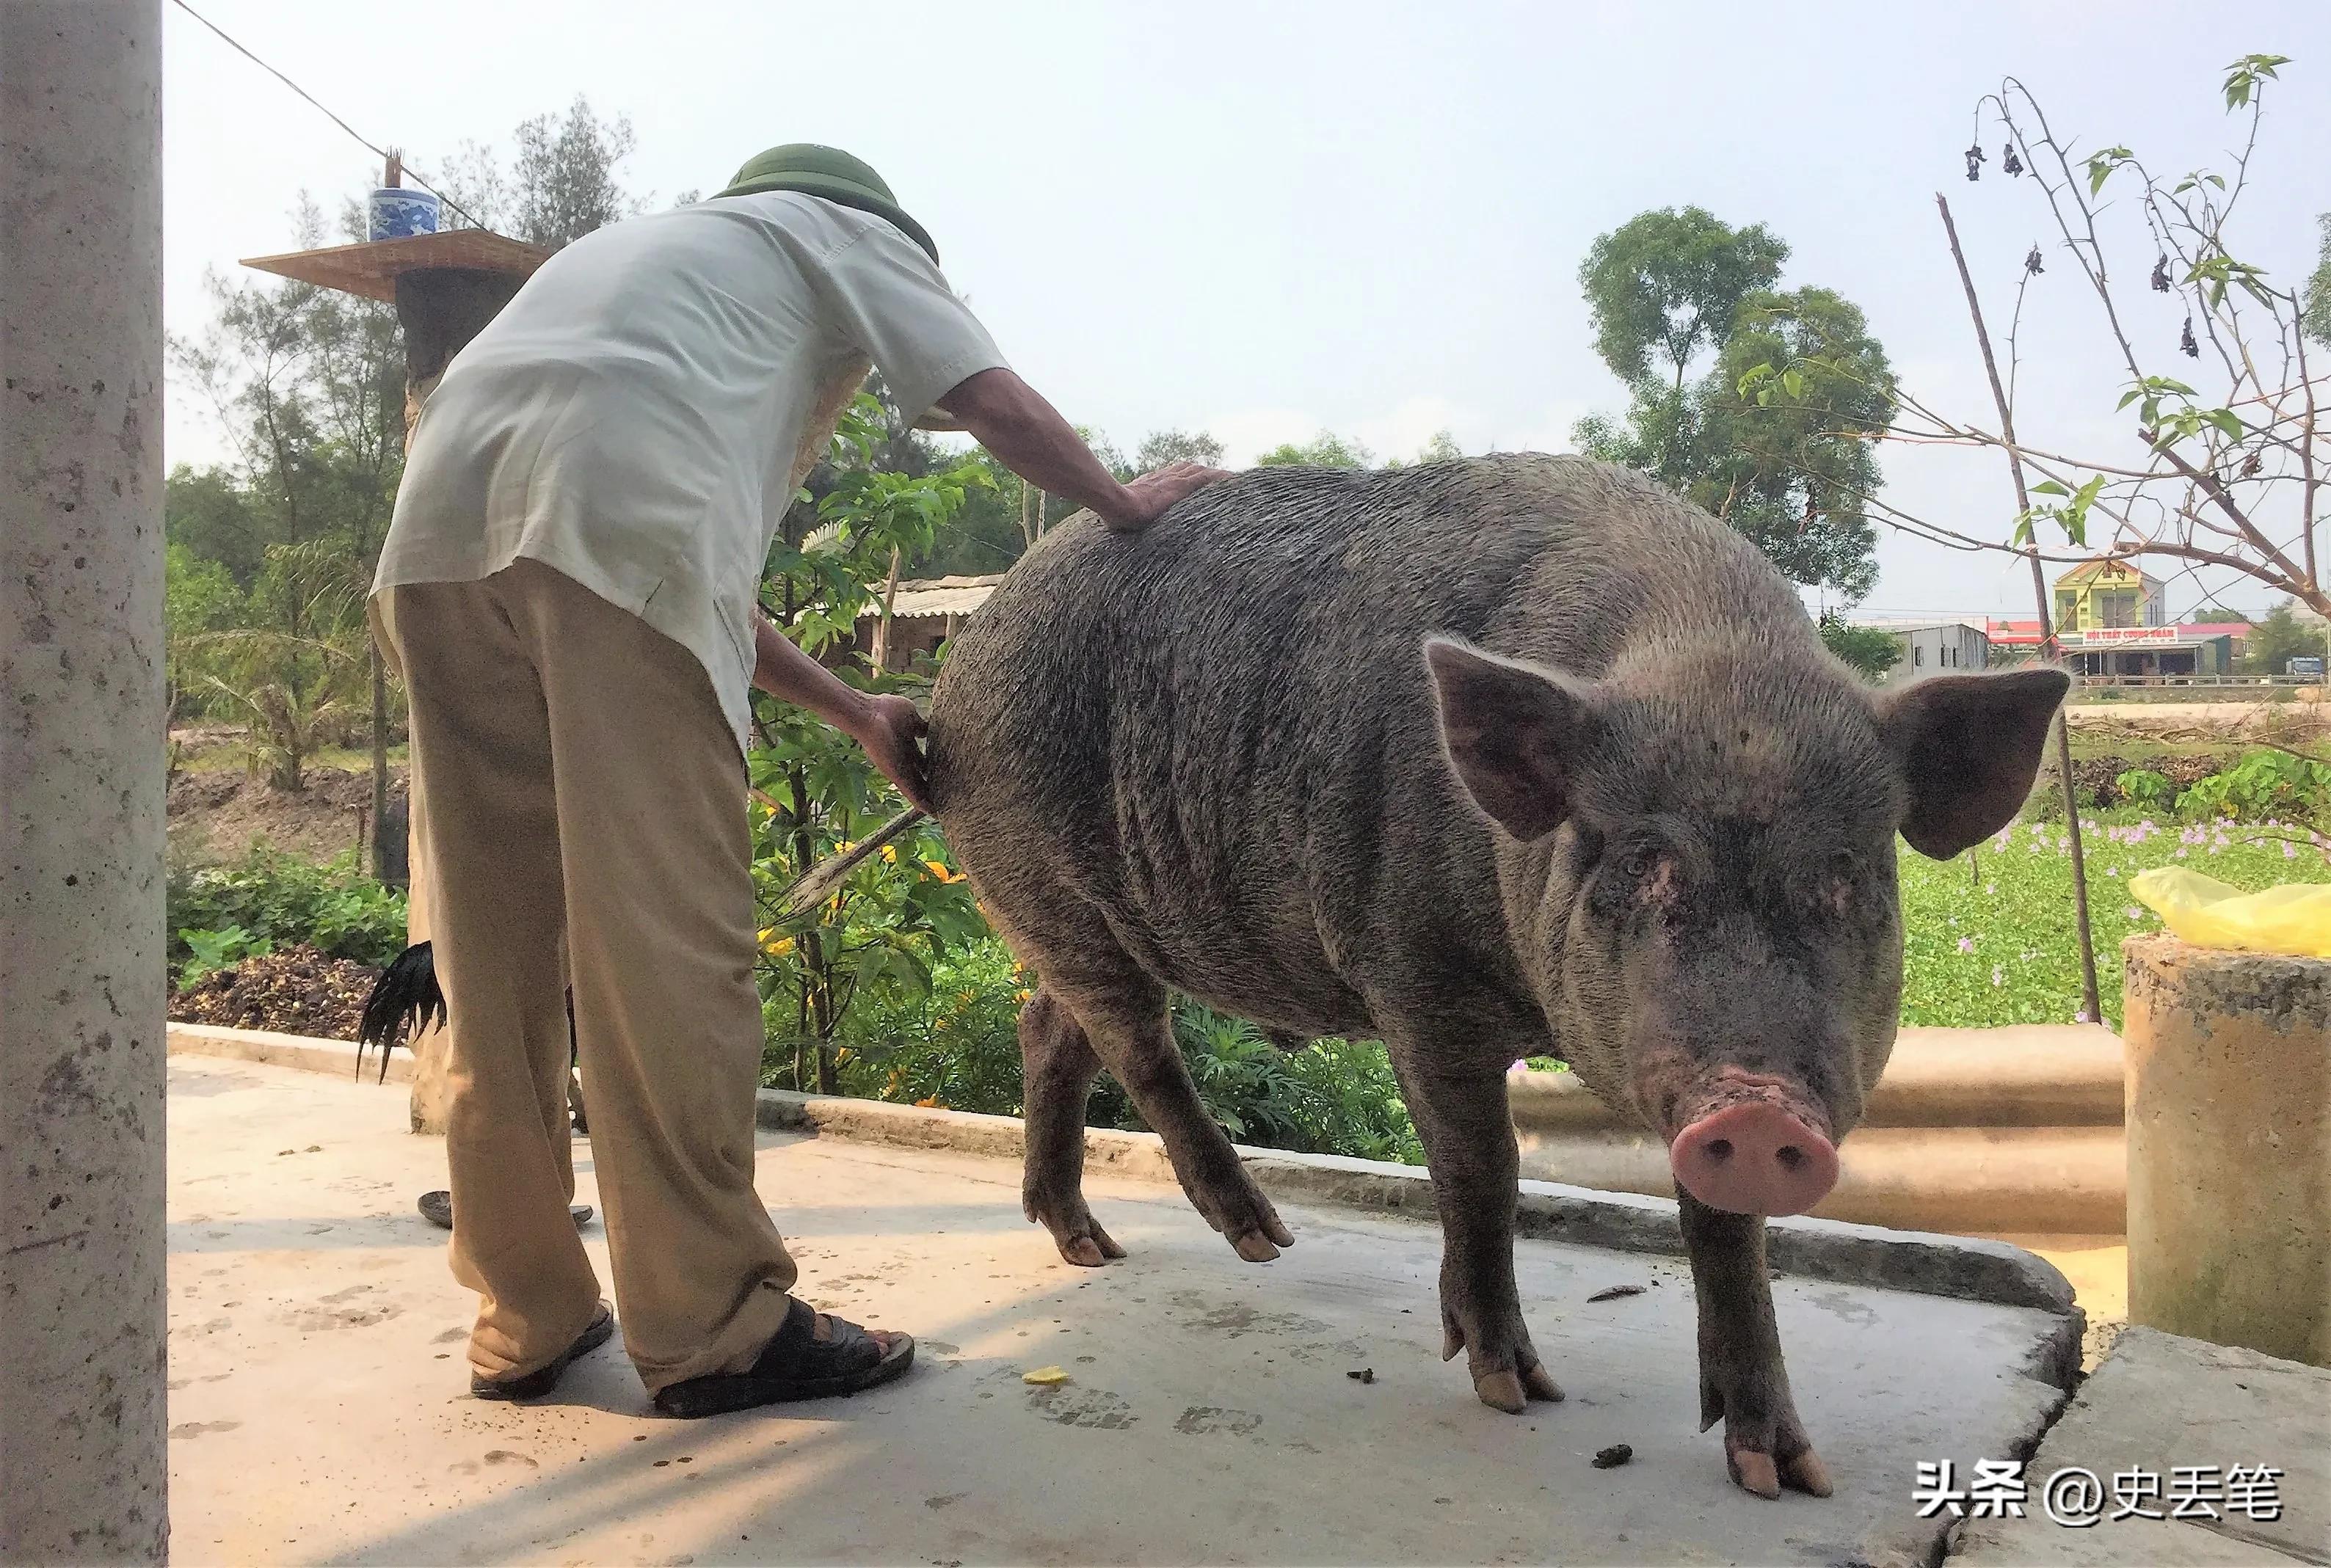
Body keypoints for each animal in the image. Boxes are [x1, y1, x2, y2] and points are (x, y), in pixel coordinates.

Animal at [923, 454, 2066, 1498]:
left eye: (1848, 869)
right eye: (1641, 857)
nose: (1756, 1107)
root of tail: (954, 677)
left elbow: (1724, 1226)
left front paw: (1785, 1475)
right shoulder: (1411, 970)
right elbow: (1483, 1169)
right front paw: (1516, 1390)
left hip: (1086, 923)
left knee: (1049, 1028)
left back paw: (1089, 1248)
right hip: (1043, 877)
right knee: (1135, 1046)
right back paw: (1263, 1242)